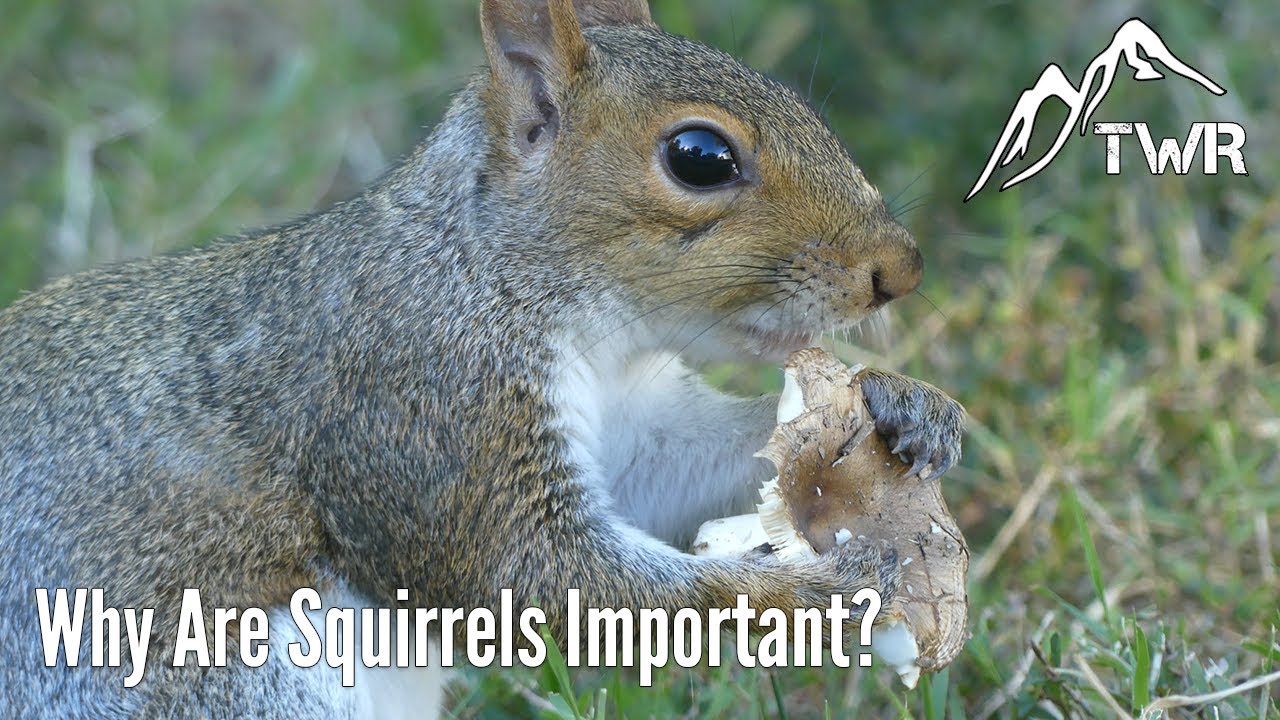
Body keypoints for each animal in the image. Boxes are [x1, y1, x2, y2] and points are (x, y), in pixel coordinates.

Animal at [0, 0, 965, 717]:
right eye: (699, 157)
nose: (902, 270)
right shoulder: (424, 407)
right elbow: (536, 583)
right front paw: (815, 594)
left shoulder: (632, 426)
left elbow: (684, 469)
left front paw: (899, 406)